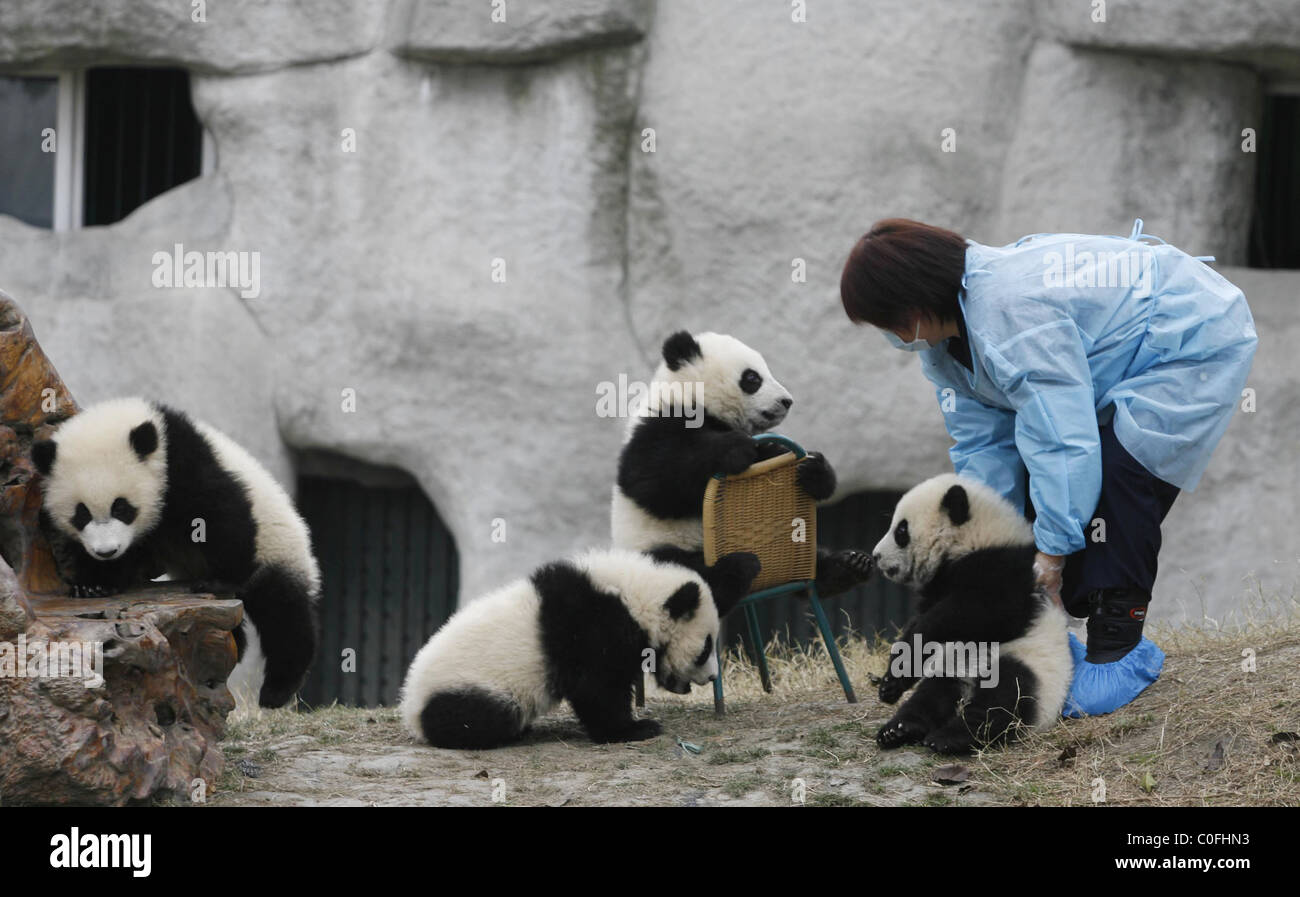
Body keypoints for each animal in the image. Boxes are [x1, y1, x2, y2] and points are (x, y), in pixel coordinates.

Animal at [31, 397, 320, 710]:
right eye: (81, 514)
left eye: (121, 507)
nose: (107, 551)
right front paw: (94, 584)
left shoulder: (184, 465)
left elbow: (221, 514)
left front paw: (221, 579)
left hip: (279, 548)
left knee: (282, 611)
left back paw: (276, 690)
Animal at [399, 547, 760, 748]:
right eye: (704, 649)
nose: (711, 678)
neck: (635, 597)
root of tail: (410, 705)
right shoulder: (591, 629)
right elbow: (598, 689)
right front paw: (635, 728)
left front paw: (746, 564)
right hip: (470, 689)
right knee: (481, 715)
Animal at [610, 330, 873, 596]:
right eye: (752, 378)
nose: (787, 401)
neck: (692, 400)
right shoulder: (657, 426)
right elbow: (653, 480)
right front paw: (734, 448)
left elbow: (777, 459)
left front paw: (814, 471)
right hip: (657, 546)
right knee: (688, 571)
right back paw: (735, 568)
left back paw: (845, 569)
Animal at [871, 473, 1071, 753]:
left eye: (901, 531)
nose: (876, 556)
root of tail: (970, 684)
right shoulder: (939, 585)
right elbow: (919, 624)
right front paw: (891, 682)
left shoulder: (1005, 573)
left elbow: (979, 613)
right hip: (950, 668)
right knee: (930, 696)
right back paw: (899, 729)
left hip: (1031, 663)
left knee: (1005, 696)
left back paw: (952, 737)